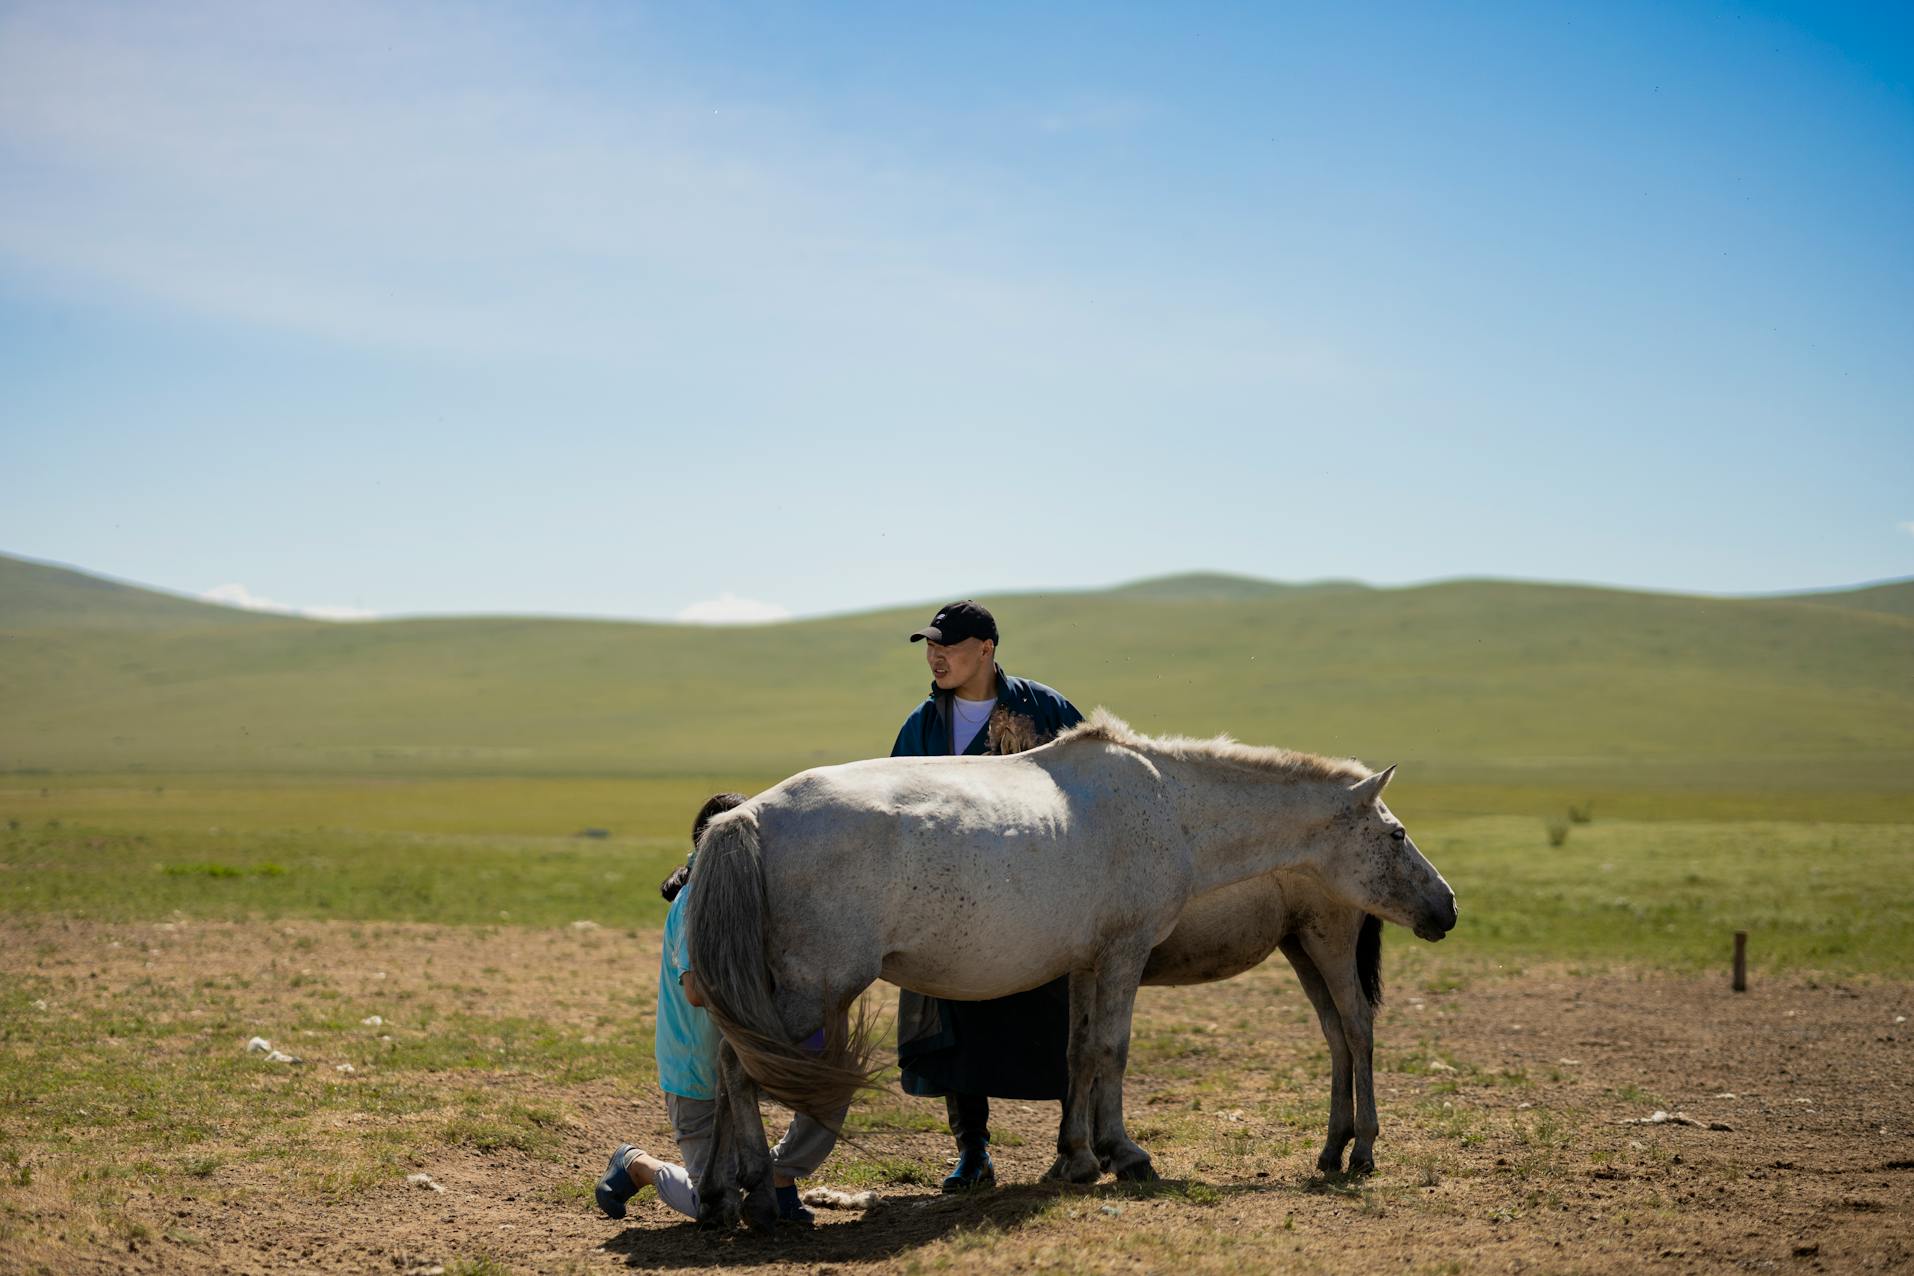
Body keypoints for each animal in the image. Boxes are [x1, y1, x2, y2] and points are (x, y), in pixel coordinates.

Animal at [683, 709, 1456, 1229]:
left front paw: (1077, 1159)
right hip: (810, 993)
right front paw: (1125, 1155)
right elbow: (1112, 1051)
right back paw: (758, 1195)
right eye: (1396, 835)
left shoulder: (1089, 963)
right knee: (740, 1073)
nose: (1445, 907)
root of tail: (744, 820)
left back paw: (719, 1198)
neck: (1169, 806)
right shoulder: (1123, 954)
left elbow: (1080, 1053)